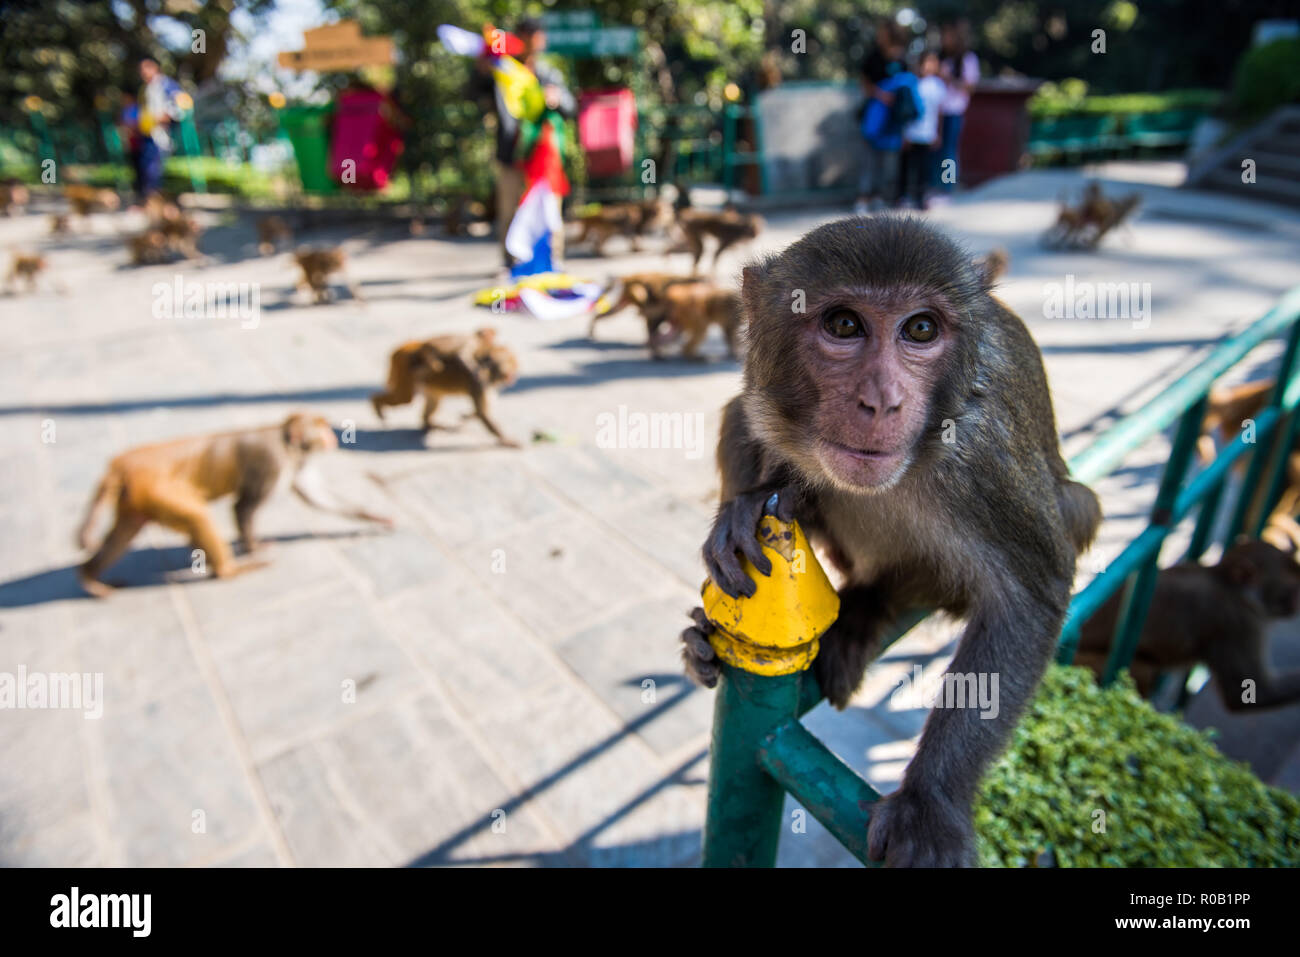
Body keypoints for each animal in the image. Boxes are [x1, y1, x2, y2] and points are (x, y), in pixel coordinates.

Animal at [76, 413, 393, 597]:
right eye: (321, 428)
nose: (333, 437)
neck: (287, 444)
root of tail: (120, 465)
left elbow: (316, 497)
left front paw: (373, 516)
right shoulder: (271, 463)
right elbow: (243, 508)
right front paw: (254, 548)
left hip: (135, 501)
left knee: (123, 534)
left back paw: (90, 577)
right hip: (156, 490)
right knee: (197, 516)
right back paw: (230, 570)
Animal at [370, 328, 521, 447]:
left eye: (513, 363)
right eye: (506, 363)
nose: (511, 374)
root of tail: (409, 347)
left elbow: (478, 412)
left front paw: (466, 416)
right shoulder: (479, 382)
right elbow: (482, 413)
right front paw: (505, 439)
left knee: (433, 399)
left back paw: (428, 423)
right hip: (407, 369)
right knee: (405, 399)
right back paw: (376, 403)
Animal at [678, 217, 1102, 867]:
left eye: (920, 329)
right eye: (844, 326)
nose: (882, 401)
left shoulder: (980, 455)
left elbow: (1030, 598)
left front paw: (929, 803)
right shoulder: (771, 403)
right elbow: (745, 420)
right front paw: (752, 507)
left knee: (1071, 509)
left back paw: (867, 611)